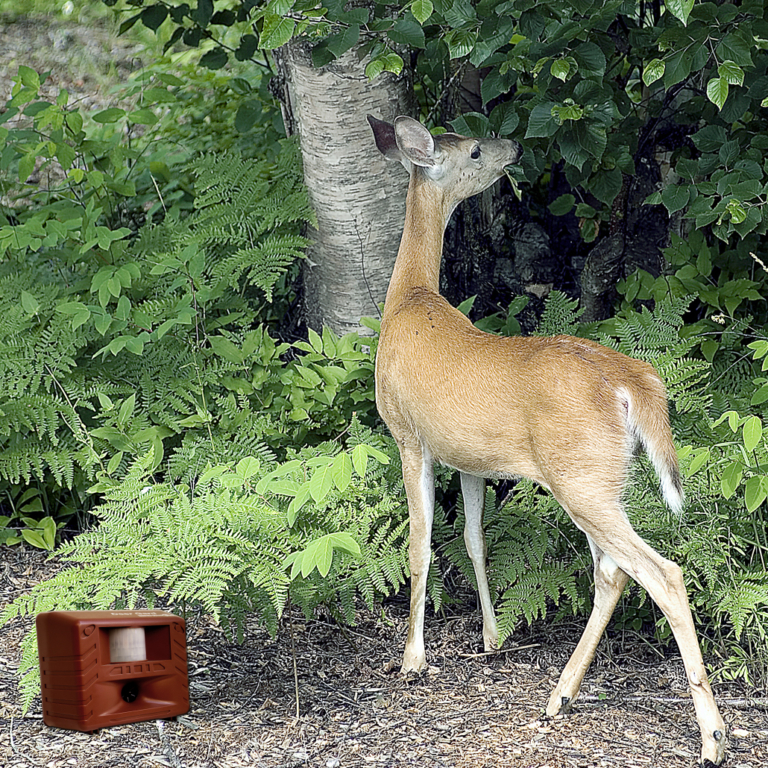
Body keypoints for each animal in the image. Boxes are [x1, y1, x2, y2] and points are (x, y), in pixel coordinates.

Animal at [367, 114, 726, 766]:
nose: (512, 146)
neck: (409, 298)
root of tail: (632, 379)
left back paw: (711, 735)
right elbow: (474, 540)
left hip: (580, 477)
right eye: (473, 149)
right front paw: (490, 637)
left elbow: (420, 547)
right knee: (612, 575)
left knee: (660, 574)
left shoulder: (409, 436)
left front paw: (412, 660)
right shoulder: (470, 460)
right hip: (599, 477)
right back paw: (560, 695)